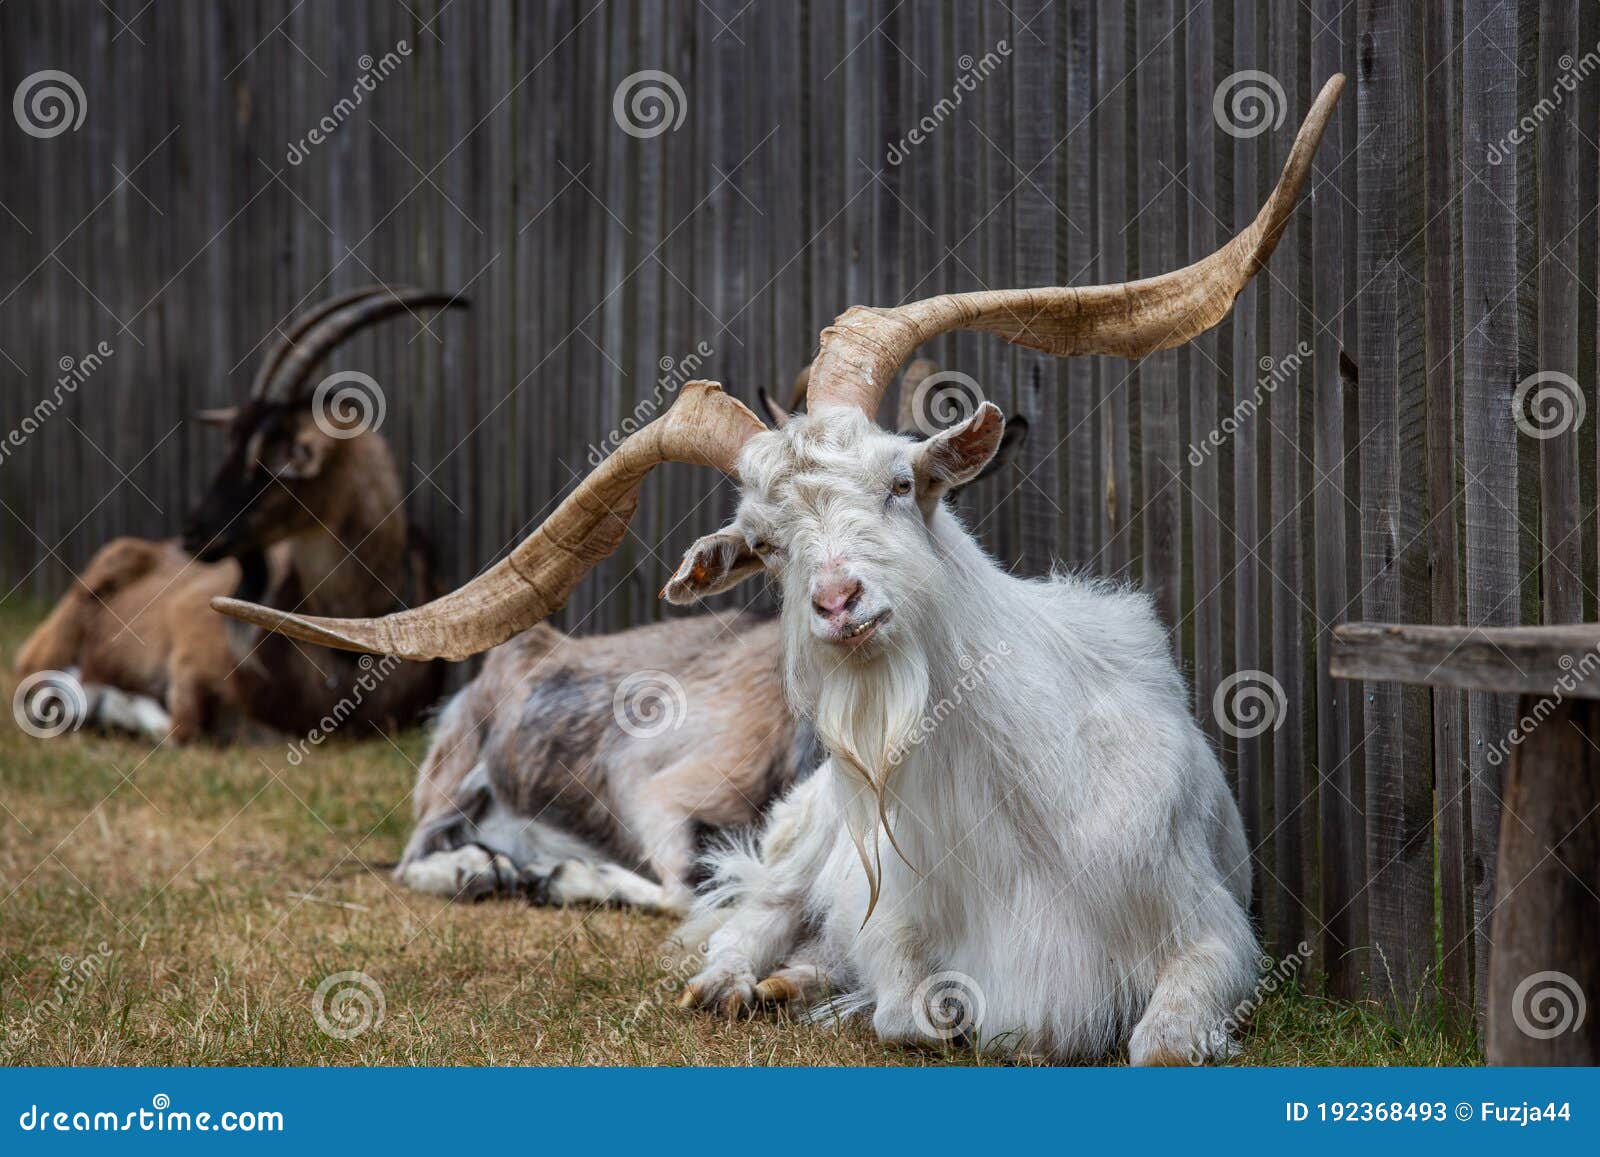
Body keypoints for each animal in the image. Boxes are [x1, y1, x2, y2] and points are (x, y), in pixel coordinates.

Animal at [396, 361, 1027, 914]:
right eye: (764, 542)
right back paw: (477, 870)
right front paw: (564, 877)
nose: (839, 601)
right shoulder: (659, 788)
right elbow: (689, 885)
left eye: (905, 484)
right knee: (410, 859)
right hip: (451, 775)